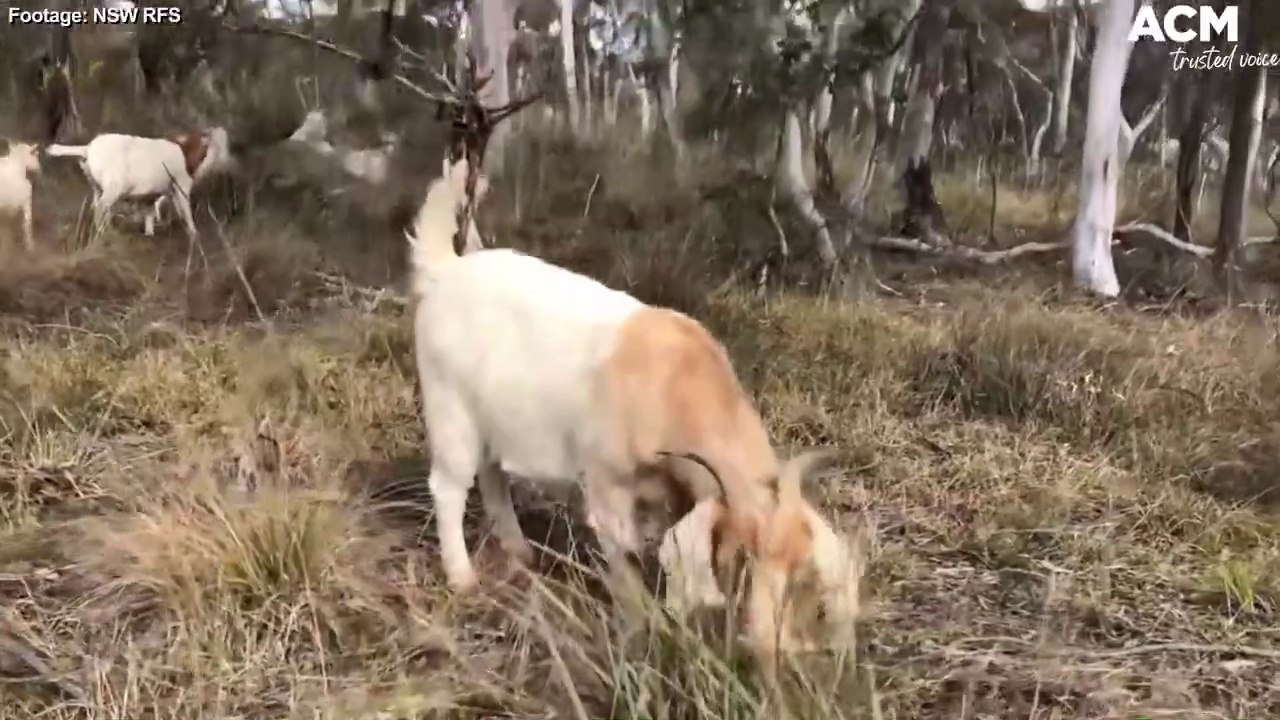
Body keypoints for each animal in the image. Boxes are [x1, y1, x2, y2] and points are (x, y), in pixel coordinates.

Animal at [44, 127, 231, 239]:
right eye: (216, 145)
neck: (185, 149)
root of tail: (88, 148)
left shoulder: (151, 194)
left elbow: (149, 212)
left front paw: (149, 233)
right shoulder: (181, 186)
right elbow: (185, 210)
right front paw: (193, 232)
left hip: (97, 186)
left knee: (95, 206)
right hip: (113, 186)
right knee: (101, 207)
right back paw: (103, 231)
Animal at [406, 157, 859, 669]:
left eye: (806, 585)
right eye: (739, 559)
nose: (767, 651)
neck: (675, 381)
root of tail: (445, 271)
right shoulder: (607, 482)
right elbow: (624, 556)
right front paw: (643, 622)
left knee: (492, 473)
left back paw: (520, 551)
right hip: (449, 407)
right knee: (448, 486)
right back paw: (463, 578)